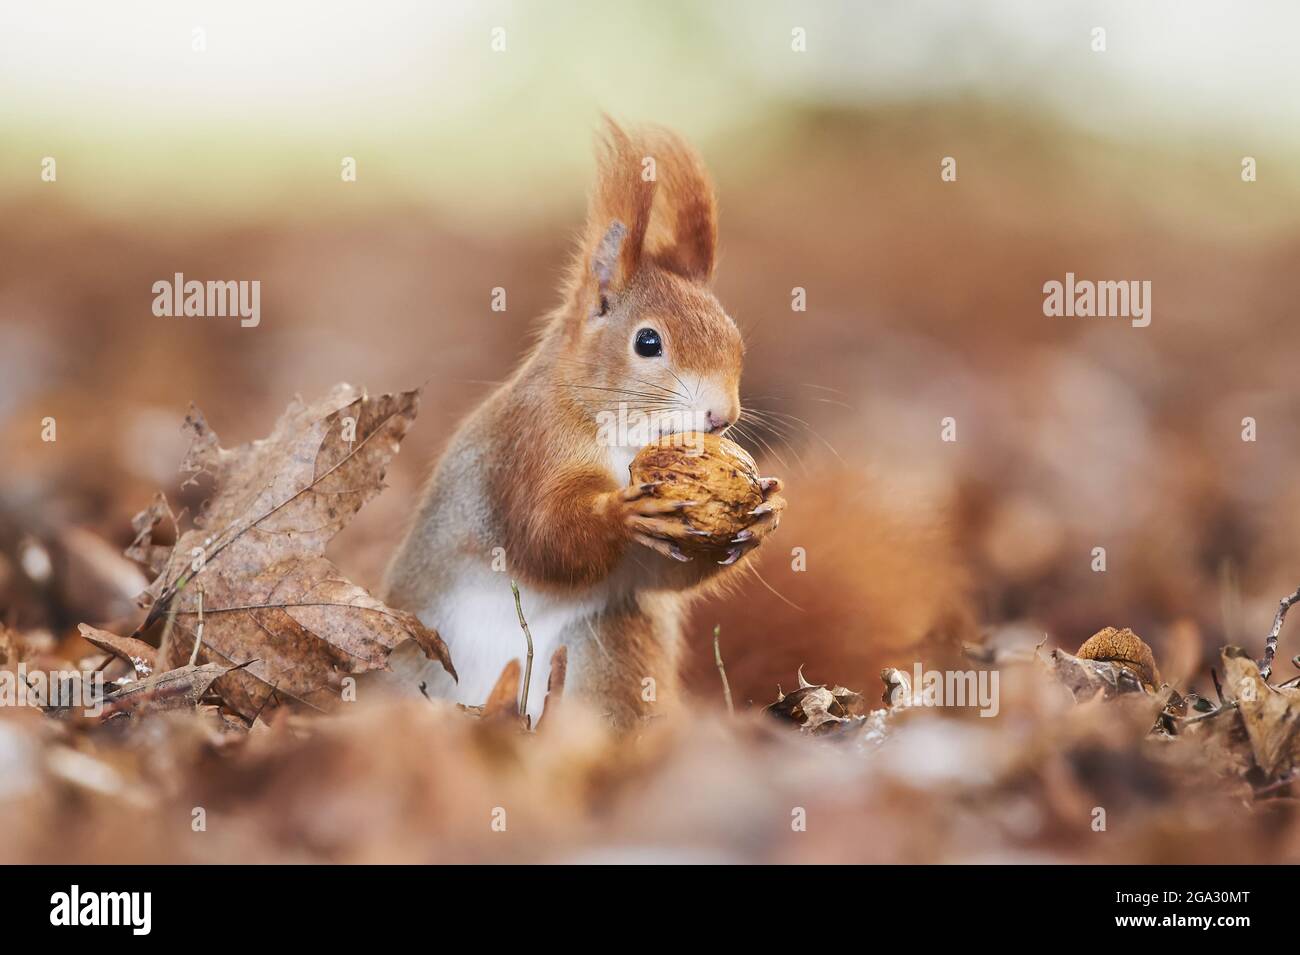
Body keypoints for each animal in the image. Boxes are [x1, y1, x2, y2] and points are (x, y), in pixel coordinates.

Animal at [378, 119, 785, 726]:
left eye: (734, 337)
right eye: (647, 342)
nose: (722, 416)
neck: (620, 438)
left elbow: (668, 575)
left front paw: (762, 515)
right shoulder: (530, 445)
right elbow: (544, 534)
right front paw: (621, 512)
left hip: (605, 646)